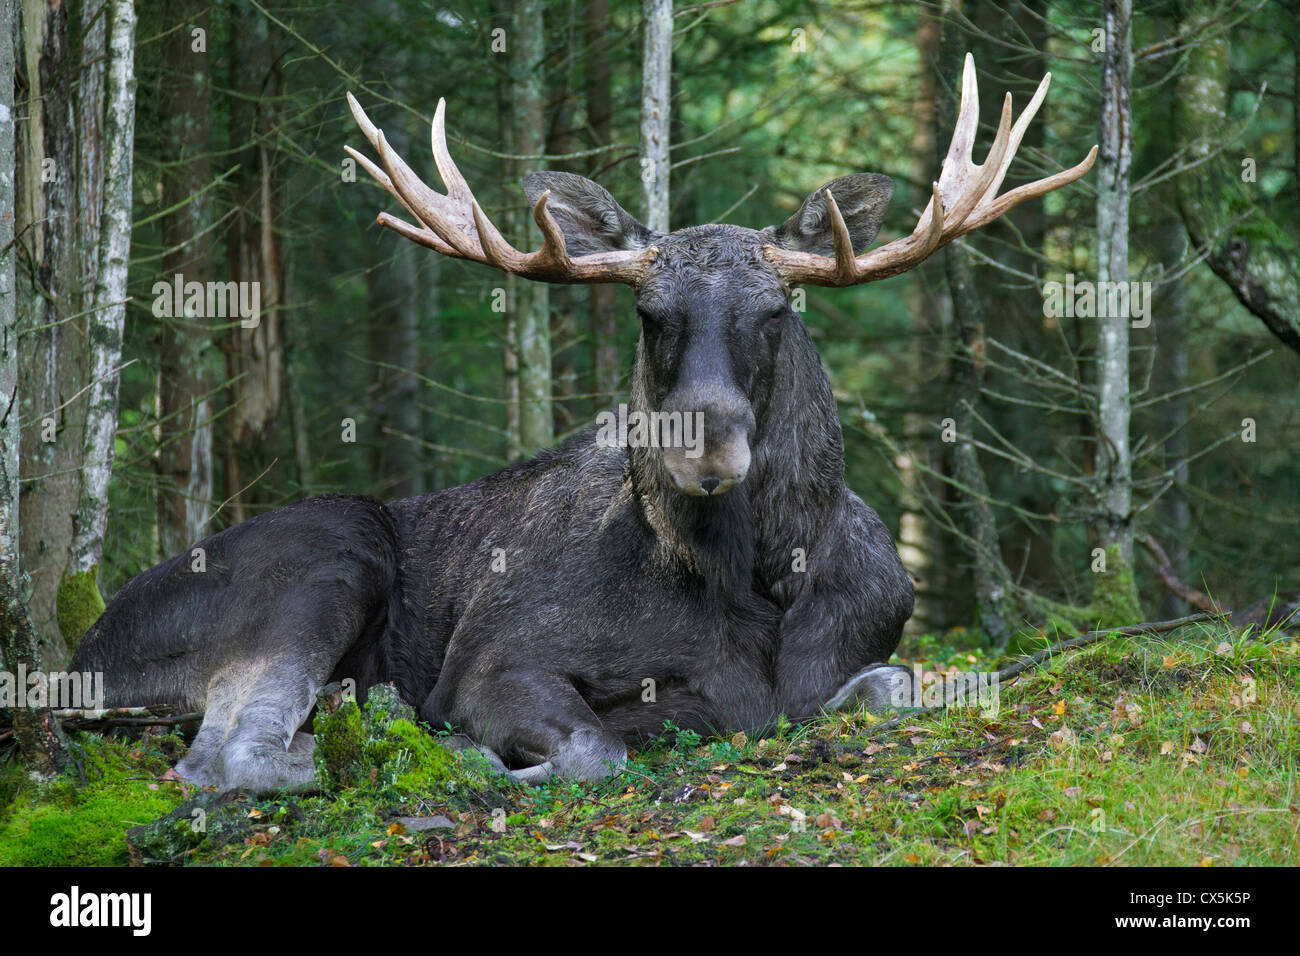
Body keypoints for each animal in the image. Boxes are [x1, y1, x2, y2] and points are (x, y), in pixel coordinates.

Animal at [70, 55, 1094, 791]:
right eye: (648, 314)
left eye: (776, 311)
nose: (703, 445)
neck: (758, 586)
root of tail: (78, 659)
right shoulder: (495, 662)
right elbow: (599, 747)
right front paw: (479, 750)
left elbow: (896, 684)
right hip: (326, 553)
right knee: (222, 760)